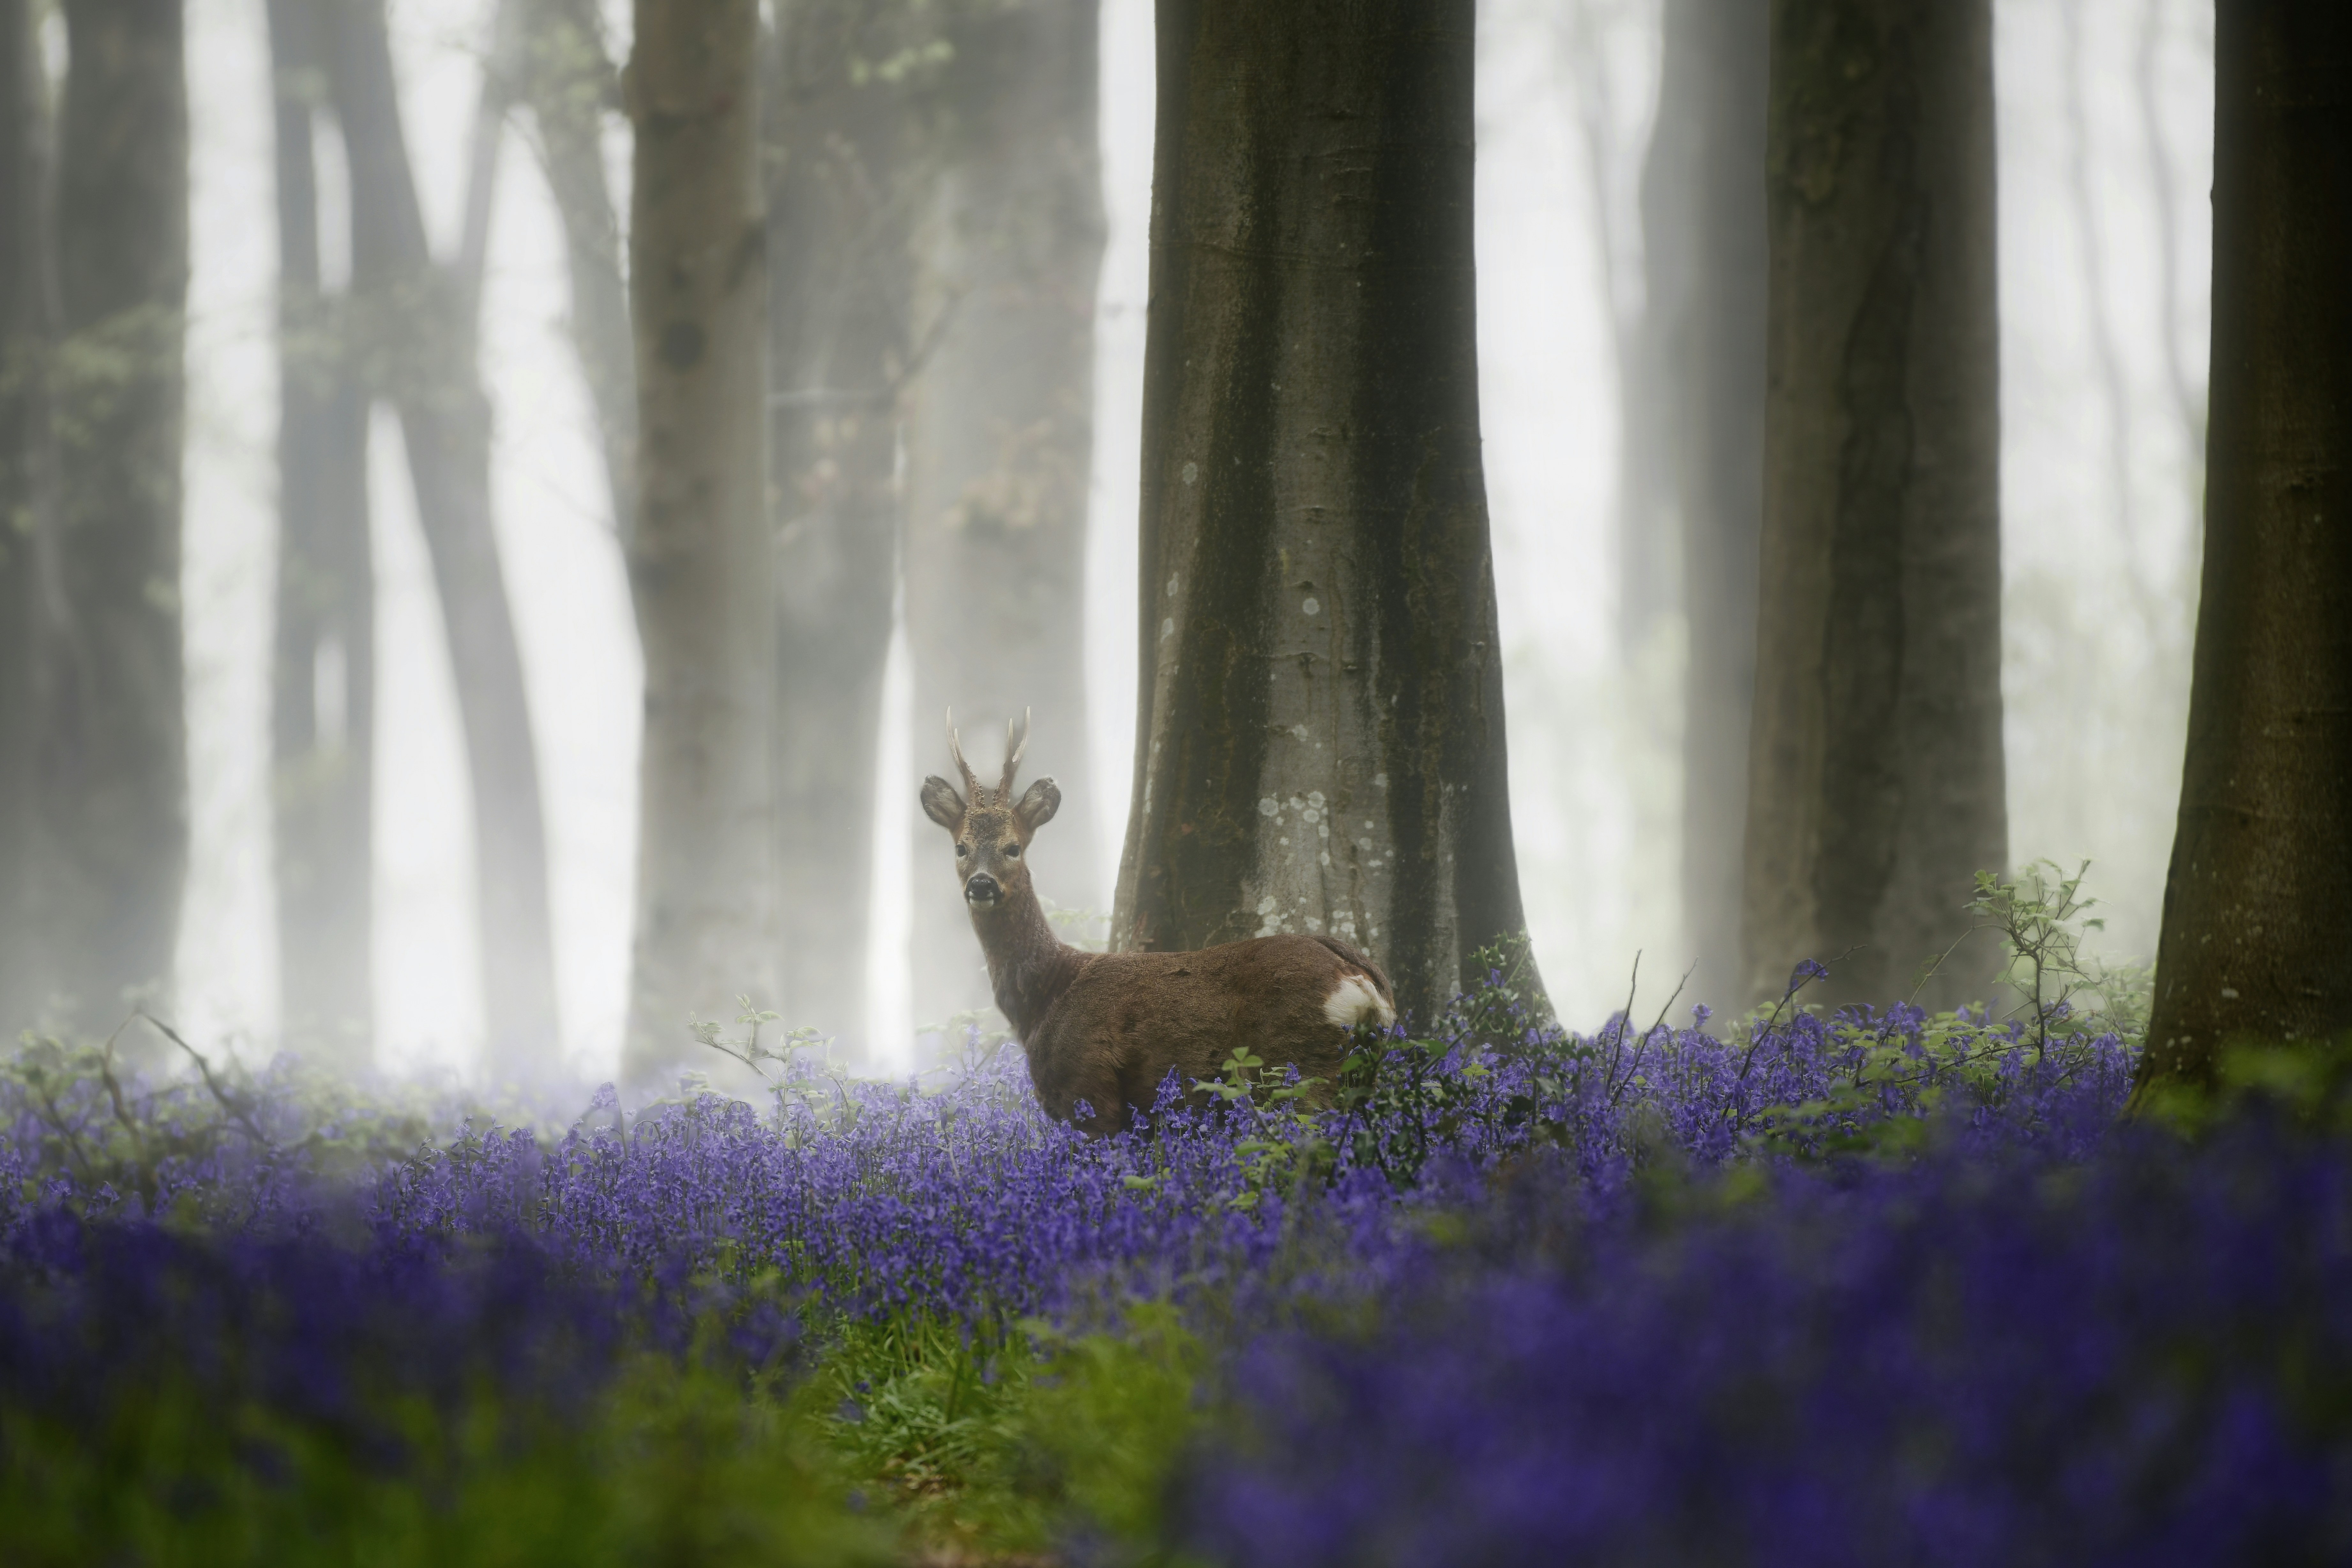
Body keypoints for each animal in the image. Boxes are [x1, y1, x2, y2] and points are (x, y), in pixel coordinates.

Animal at [920, 710, 1396, 1135]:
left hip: (1296, 1068)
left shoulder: (1089, 1091)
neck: (1044, 998)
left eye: (1013, 847)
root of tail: (1363, 982)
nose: (982, 884)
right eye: (961, 848)